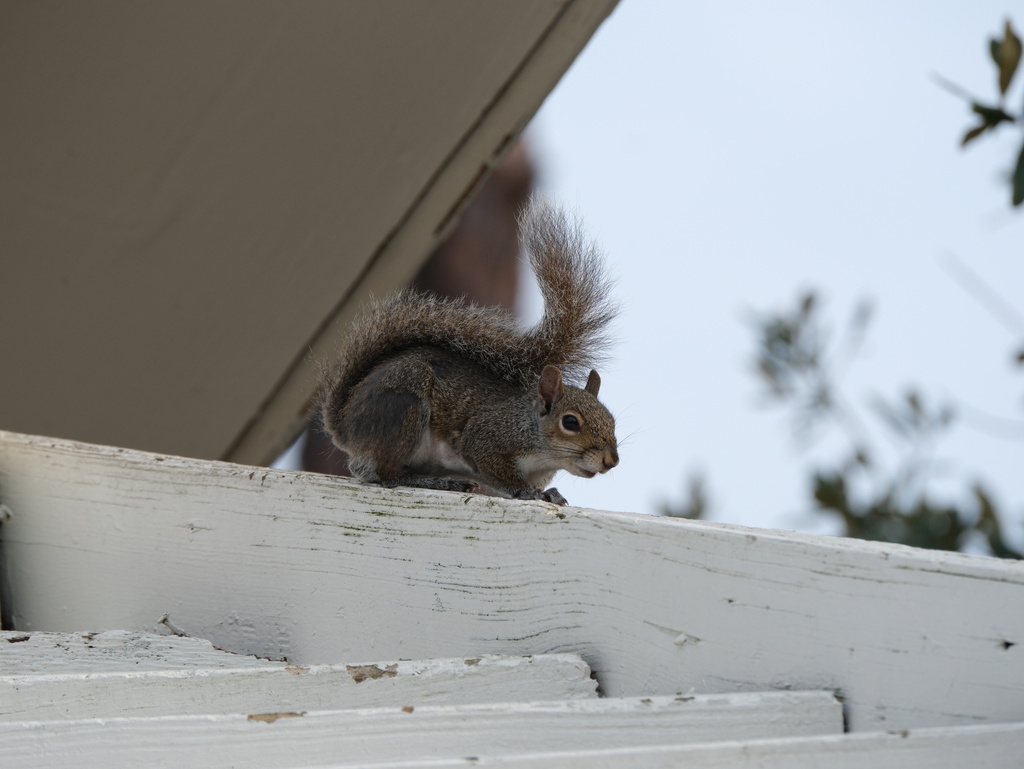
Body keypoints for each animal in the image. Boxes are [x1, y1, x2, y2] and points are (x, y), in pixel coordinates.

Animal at [317, 198, 619, 506]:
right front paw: (526, 492)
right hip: (402, 411)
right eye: (570, 422)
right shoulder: (486, 438)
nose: (611, 461)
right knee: (383, 474)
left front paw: (550, 493)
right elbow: (494, 470)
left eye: (611, 420)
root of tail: (345, 425)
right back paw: (436, 482)